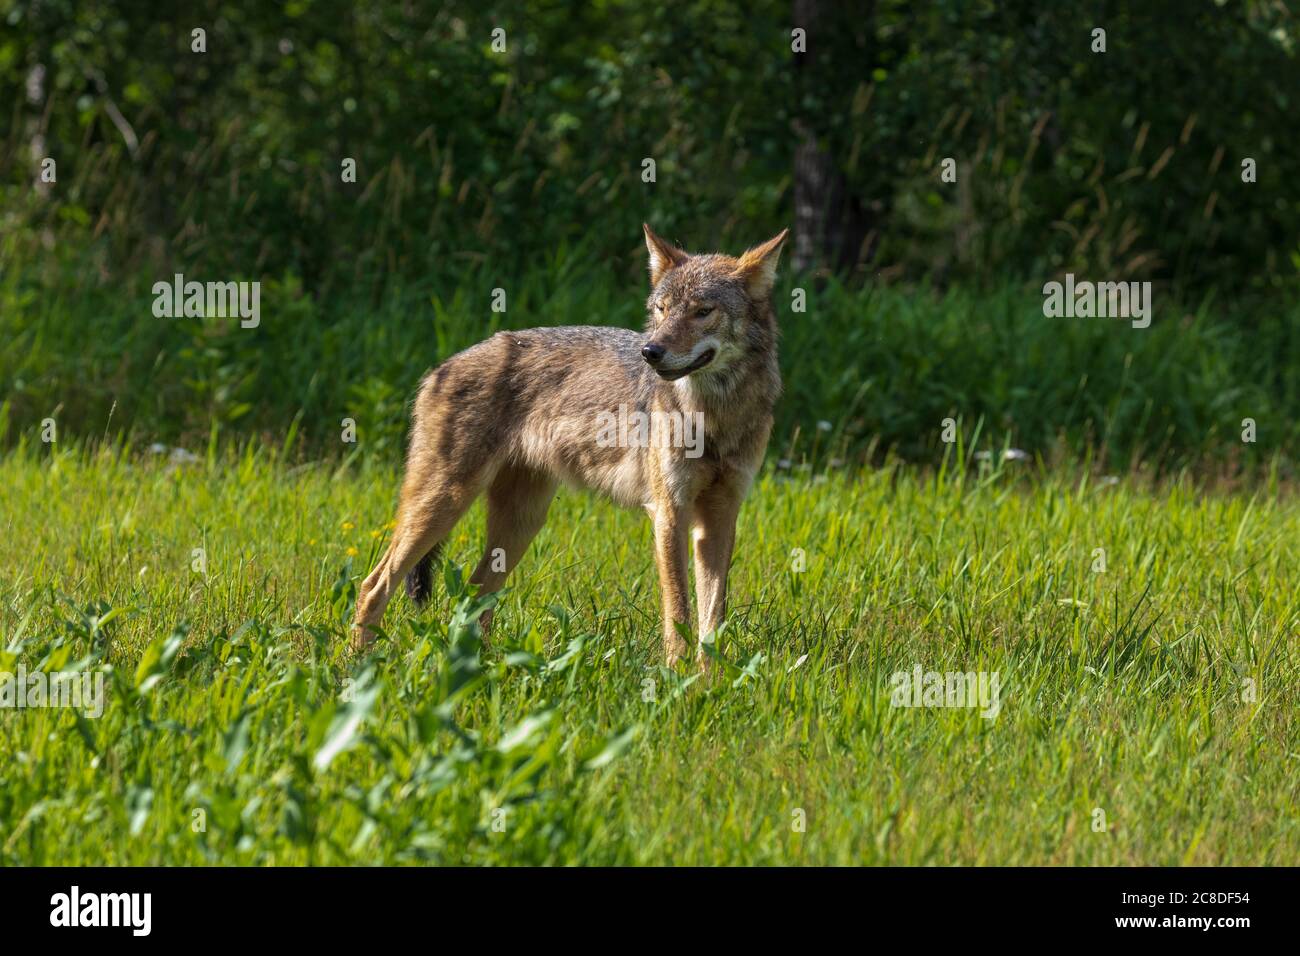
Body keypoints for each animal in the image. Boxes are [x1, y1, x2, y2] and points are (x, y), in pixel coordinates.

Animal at [351, 224, 788, 667]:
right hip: (445, 504)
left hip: (520, 523)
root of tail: (437, 368)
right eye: (662, 310)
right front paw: (677, 675)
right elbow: (678, 613)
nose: (650, 351)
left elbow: (712, 620)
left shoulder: (720, 517)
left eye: (703, 311)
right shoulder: (668, 512)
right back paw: (360, 668)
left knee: (473, 597)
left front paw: (710, 679)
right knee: (373, 586)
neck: (714, 417)